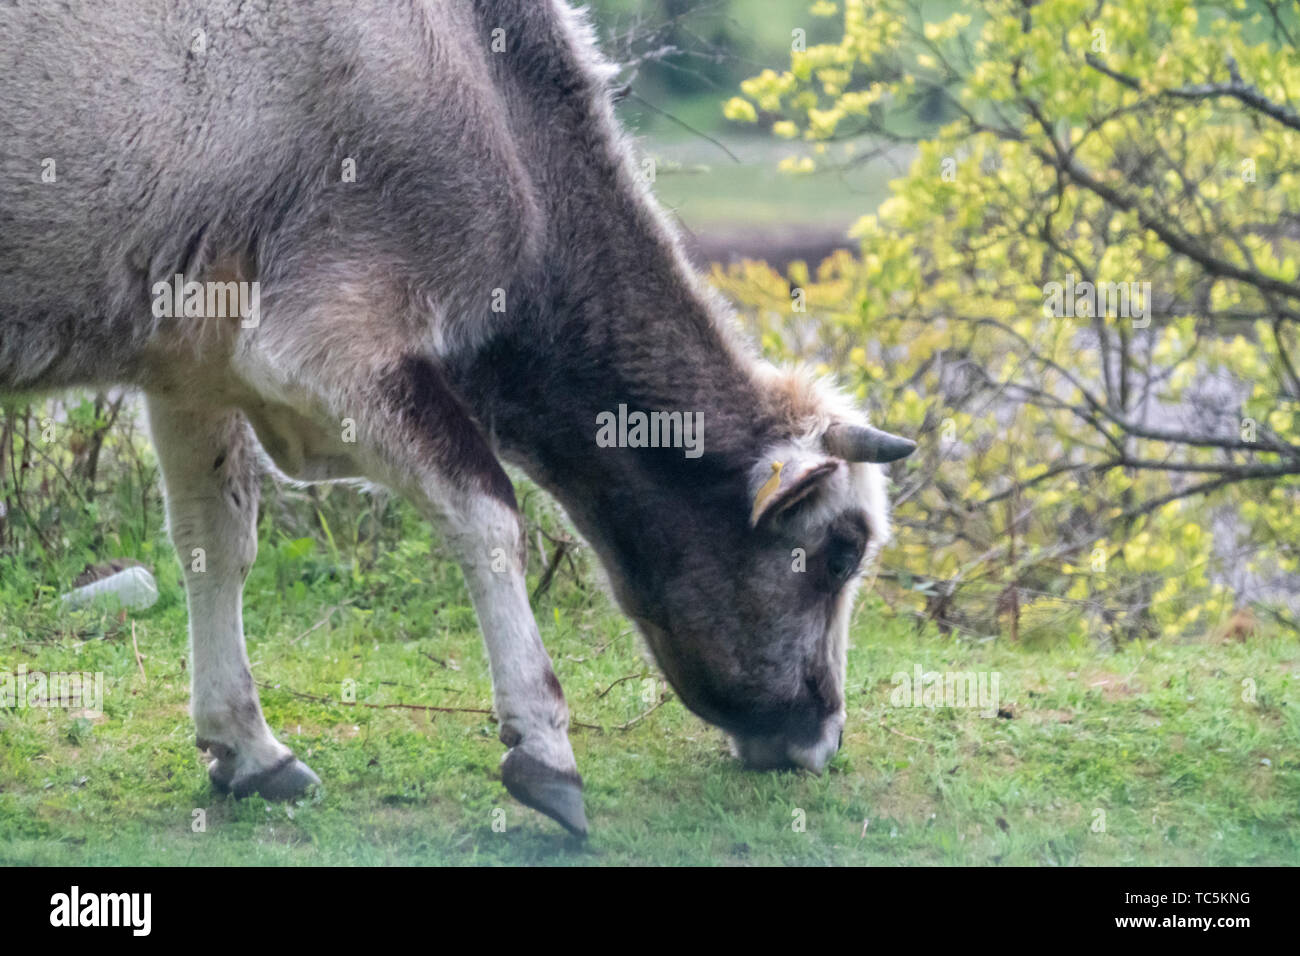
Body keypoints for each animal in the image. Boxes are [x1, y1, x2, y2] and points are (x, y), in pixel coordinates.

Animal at [0, 0, 915, 837]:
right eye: (840, 553)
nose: (823, 737)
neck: (492, 93)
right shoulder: (318, 339)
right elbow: (487, 511)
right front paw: (546, 749)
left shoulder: (193, 356)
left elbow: (216, 542)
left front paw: (248, 748)